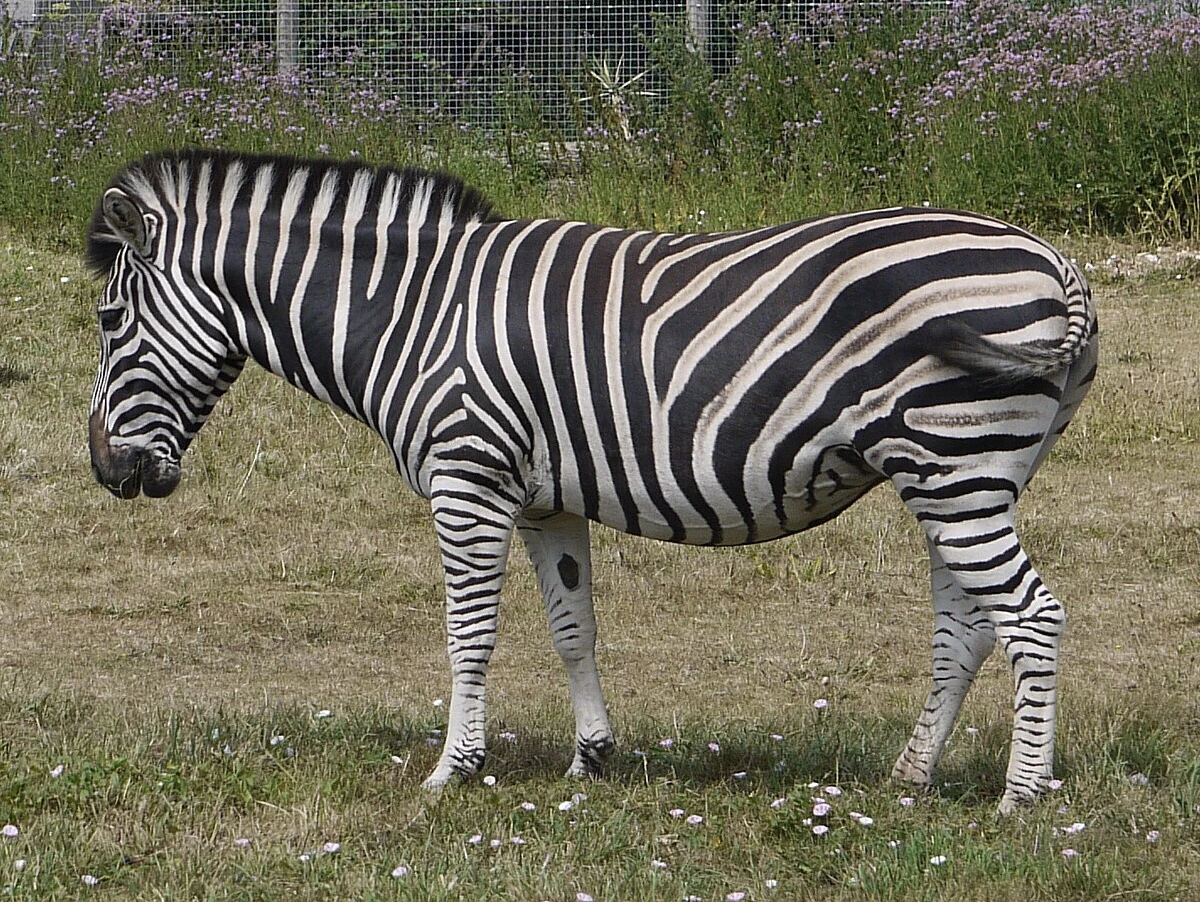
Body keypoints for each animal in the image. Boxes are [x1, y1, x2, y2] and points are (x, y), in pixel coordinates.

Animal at [86, 149, 1097, 815]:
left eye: (107, 321)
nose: (106, 470)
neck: (409, 311)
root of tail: (1054, 259)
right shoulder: (544, 500)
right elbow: (573, 629)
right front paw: (592, 760)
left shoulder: (467, 477)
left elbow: (470, 635)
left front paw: (453, 771)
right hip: (958, 474)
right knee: (968, 627)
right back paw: (913, 777)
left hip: (956, 466)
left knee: (1030, 616)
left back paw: (1020, 798)